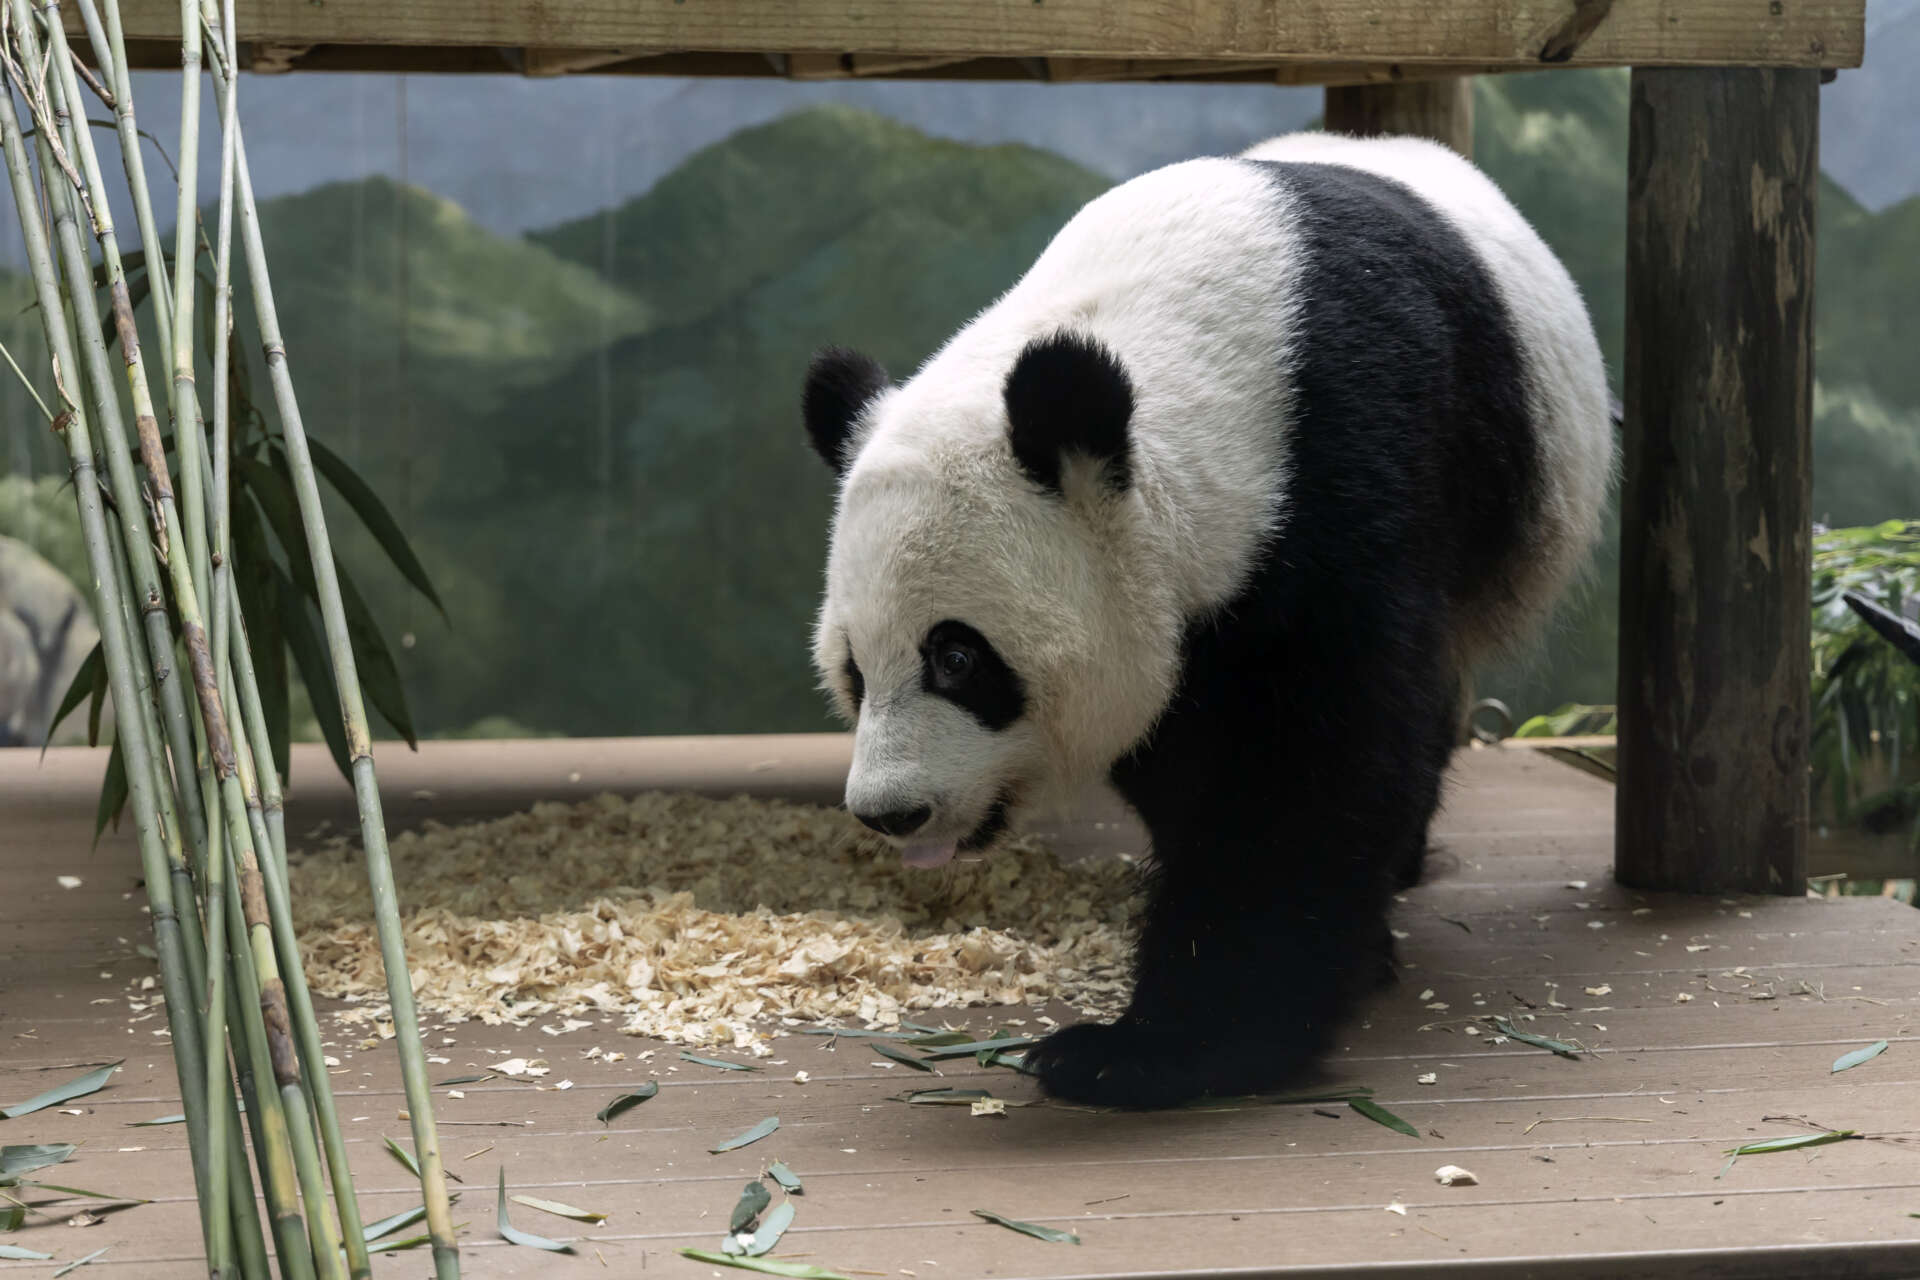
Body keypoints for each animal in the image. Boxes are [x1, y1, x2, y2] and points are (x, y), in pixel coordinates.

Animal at [800, 130, 1614, 1108]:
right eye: (853, 670)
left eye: (957, 658)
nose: (891, 812)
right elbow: (1177, 753)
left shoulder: (1344, 478)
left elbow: (1305, 770)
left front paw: (1153, 1047)